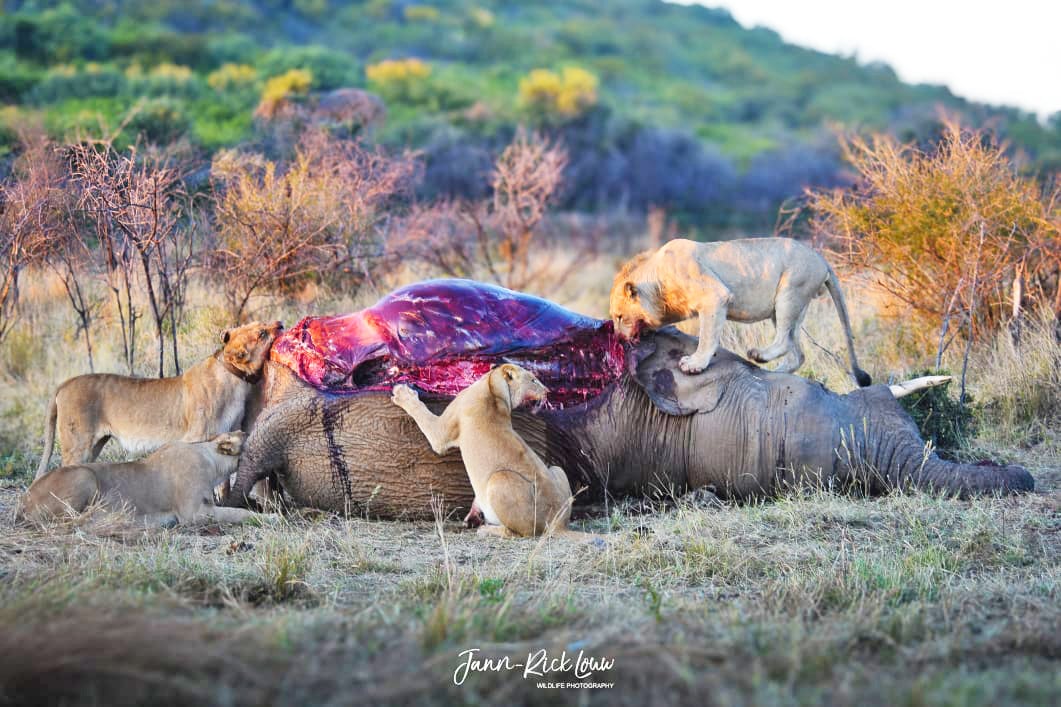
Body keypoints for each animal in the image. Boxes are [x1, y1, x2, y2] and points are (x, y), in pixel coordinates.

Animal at [19, 432, 272, 525]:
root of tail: (24, 501)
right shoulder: (194, 513)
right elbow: (238, 513)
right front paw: (271, 518)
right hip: (85, 475)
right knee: (70, 520)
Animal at [34, 321, 283, 481]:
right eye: (262, 333)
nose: (280, 324)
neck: (236, 380)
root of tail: (64, 384)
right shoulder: (194, 437)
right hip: (77, 446)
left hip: (94, 446)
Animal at [391, 365, 578, 538]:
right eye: (533, 380)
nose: (547, 391)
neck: (494, 390)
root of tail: (558, 524)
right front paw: (474, 512)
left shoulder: (440, 435)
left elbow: (420, 410)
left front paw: (402, 393)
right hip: (556, 468)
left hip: (499, 479)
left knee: (519, 533)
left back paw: (486, 529)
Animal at [610, 237, 871, 386]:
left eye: (619, 317)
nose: (618, 338)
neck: (659, 286)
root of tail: (822, 259)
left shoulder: (715, 296)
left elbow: (707, 337)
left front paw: (695, 363)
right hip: (793, 307)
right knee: (797, 353)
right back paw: (774, 373)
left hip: (790, 292)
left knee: (784, 341)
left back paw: (758, 356)